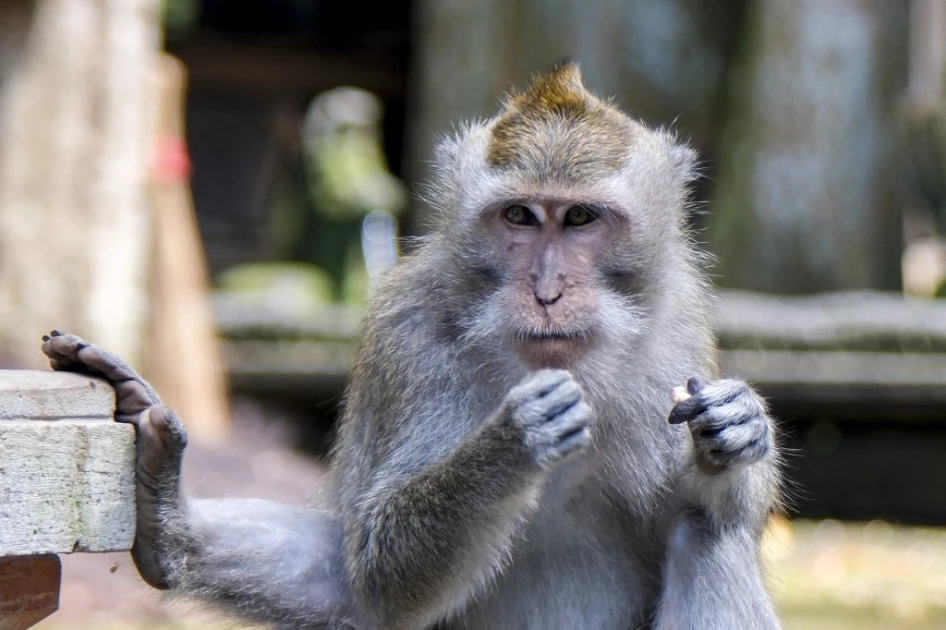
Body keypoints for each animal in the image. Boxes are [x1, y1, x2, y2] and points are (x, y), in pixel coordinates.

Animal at [41, 62, 782, 629]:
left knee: (705, 535)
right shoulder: (408, 338)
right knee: (349, 587)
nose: (546, 291)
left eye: (579, 218)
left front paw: (740, 426)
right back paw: (169, 525)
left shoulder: (677, 325)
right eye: (520, 216)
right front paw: (510, 442)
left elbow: (713, 511)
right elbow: (381, 571)